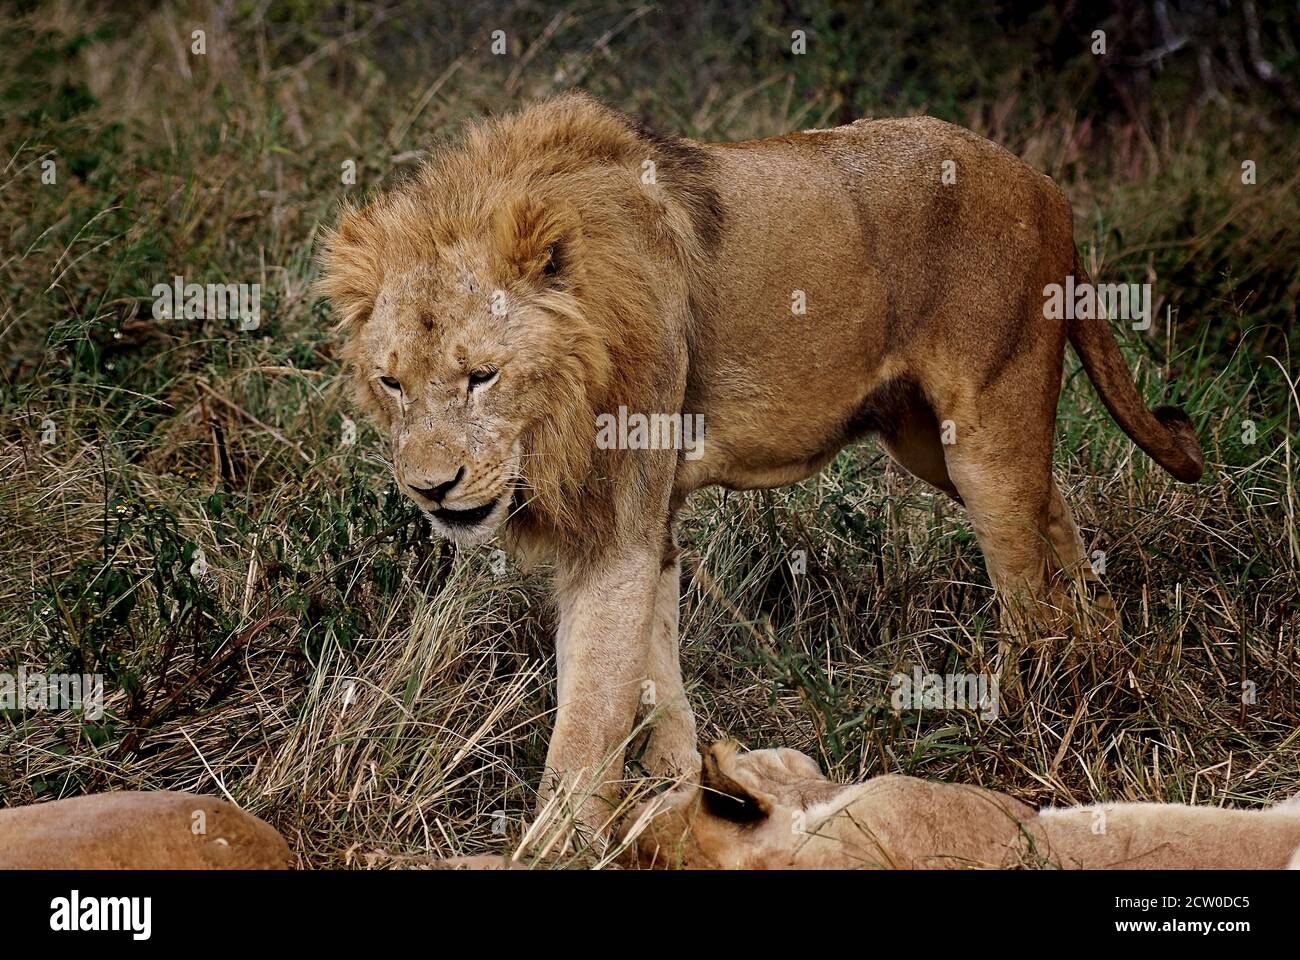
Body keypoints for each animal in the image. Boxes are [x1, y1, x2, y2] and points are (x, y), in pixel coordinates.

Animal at [319, 93, 1203, 833]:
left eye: (482, 375)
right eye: (391, 382)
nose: (430, 490)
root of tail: (1045, 185)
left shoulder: (617, 524)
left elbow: (588, 718)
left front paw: (556, 844)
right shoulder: (649, 524)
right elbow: (655, 683)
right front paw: (681, 798)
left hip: (989, 423)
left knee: (1026, 588)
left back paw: (1039, 713)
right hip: (927, 439)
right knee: (1055, 514)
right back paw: (1106, 651)